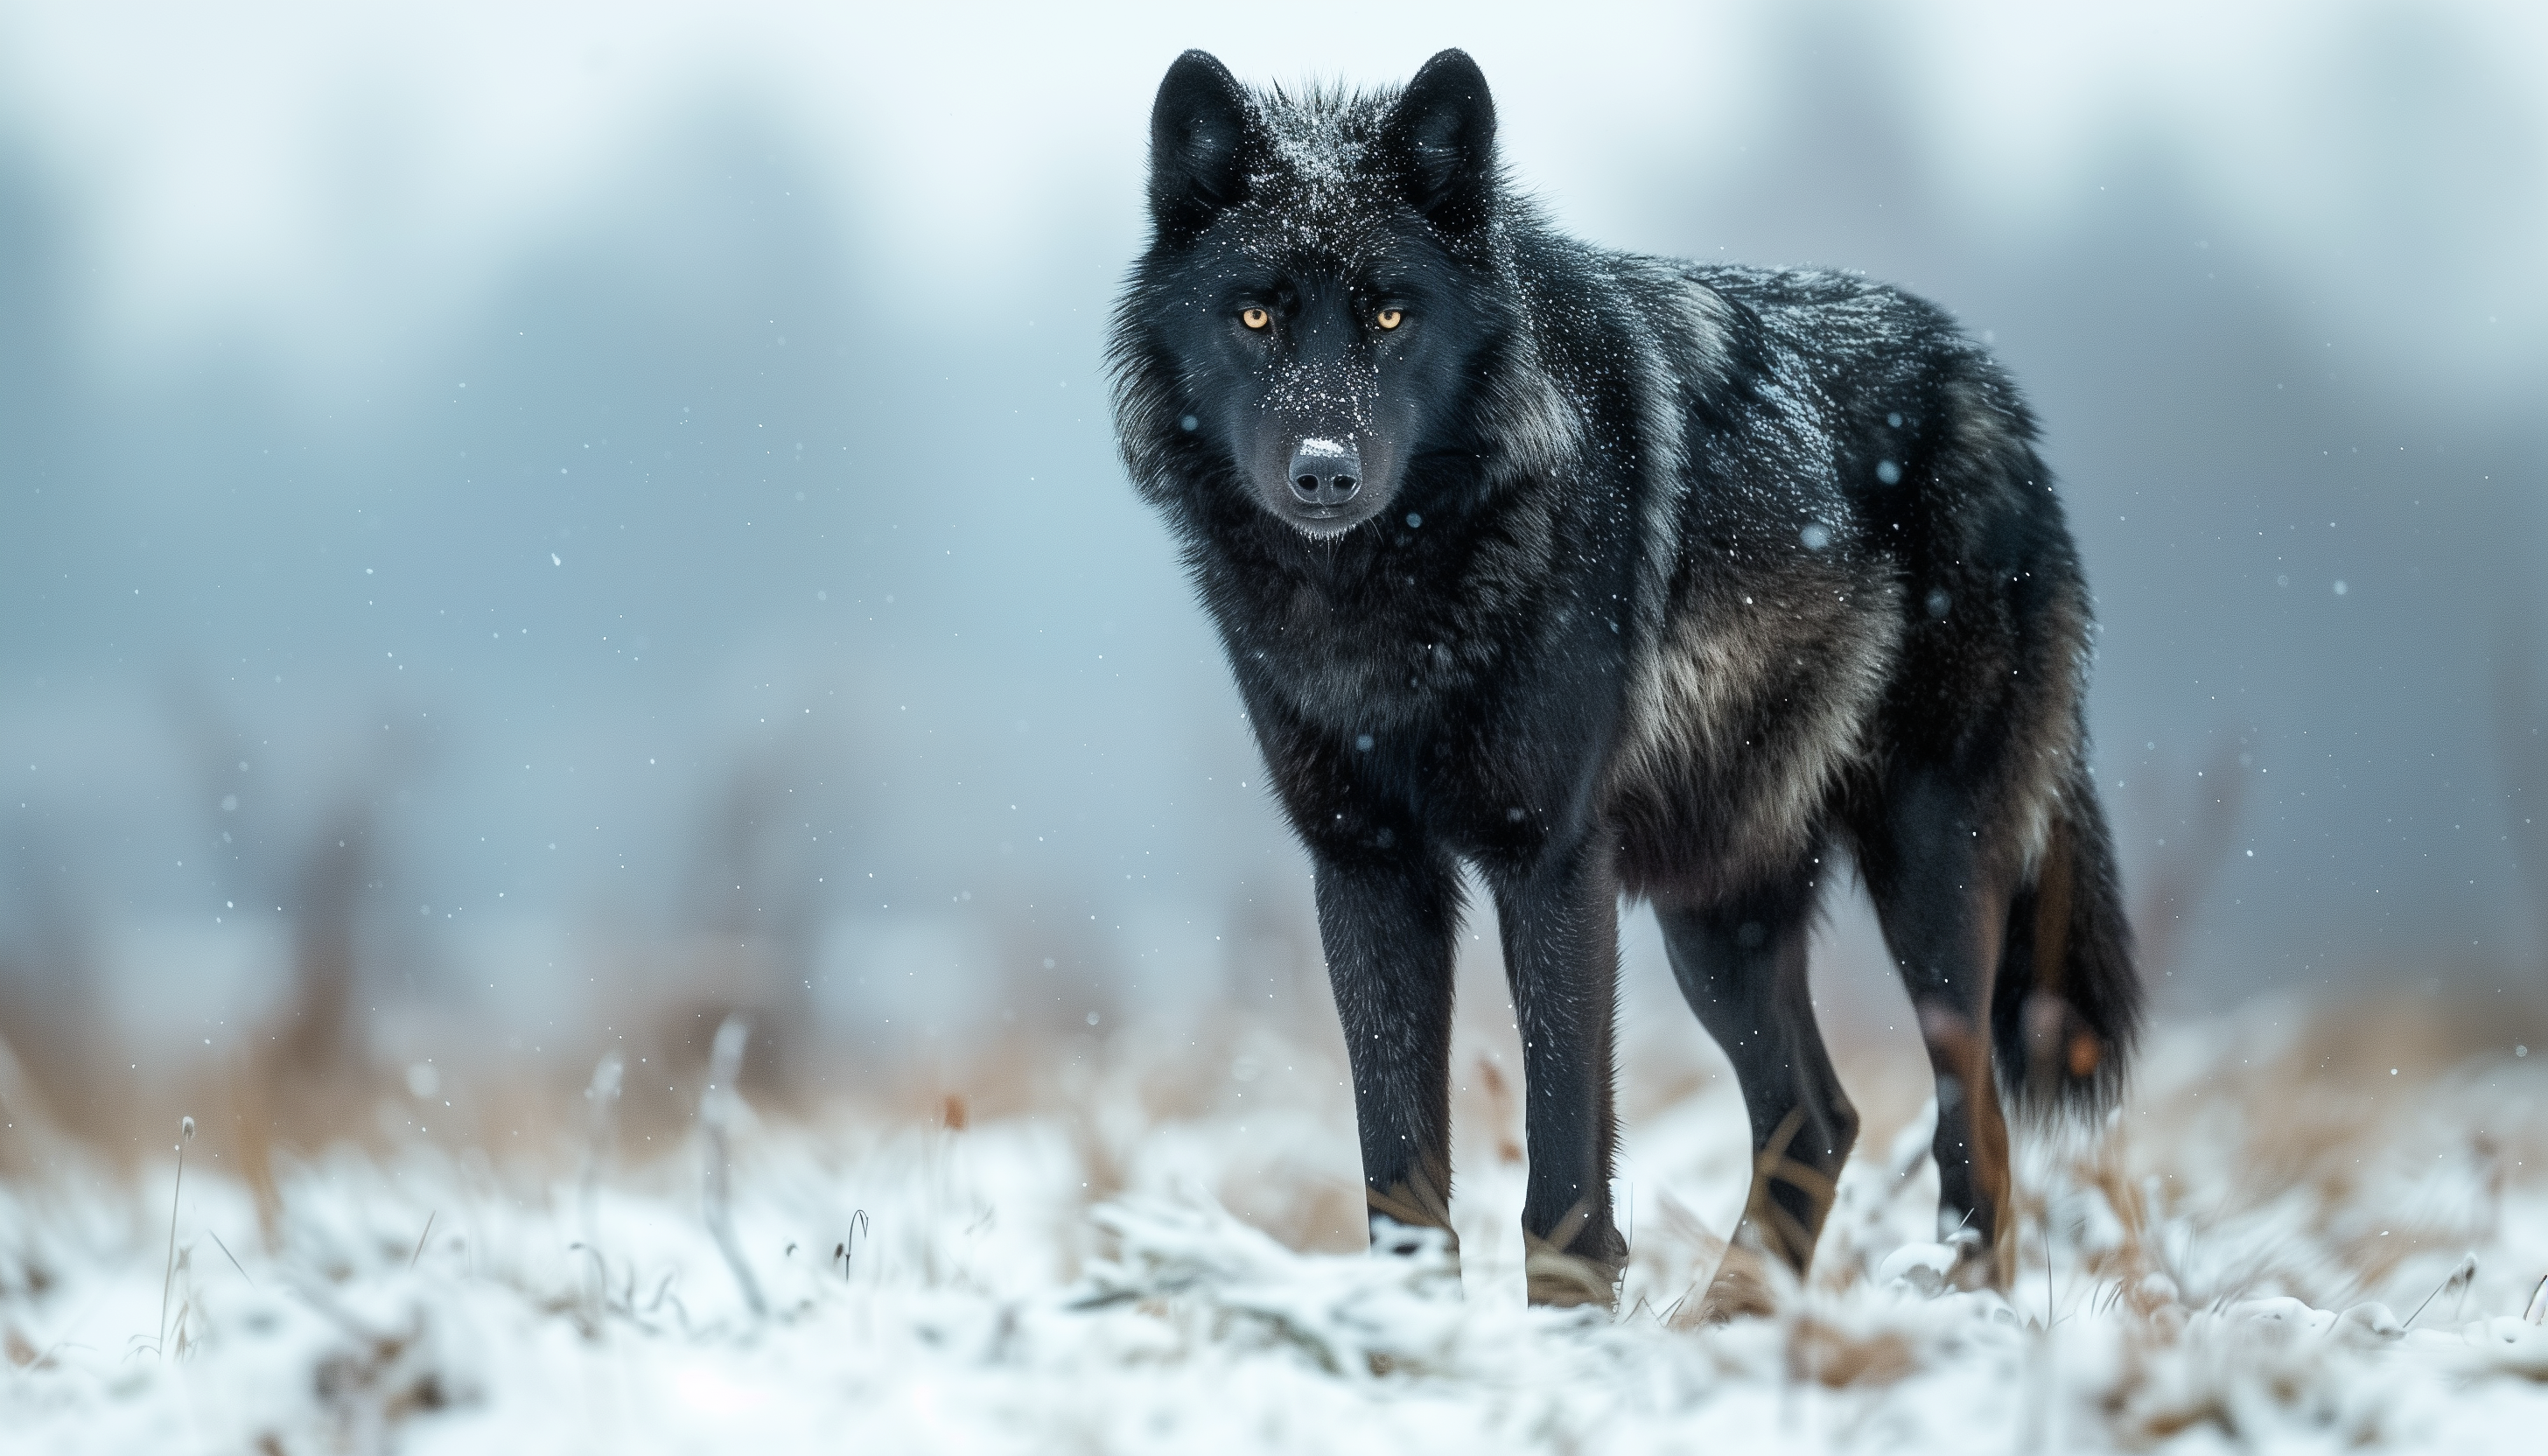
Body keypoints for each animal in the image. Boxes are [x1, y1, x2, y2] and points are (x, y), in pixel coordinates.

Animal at [1109, 49, 2140, 1308]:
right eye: (1255, 313)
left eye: (1391, 313)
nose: (1322, 471)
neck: (1389, 605)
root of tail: (1997, 389)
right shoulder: (1365, 870)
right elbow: (1398, 1177)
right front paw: (1412, 1334)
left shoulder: (1552, 864)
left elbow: (1562, 1179)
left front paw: (1565, 1336)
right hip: (1716, 918)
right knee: (1819, 1120)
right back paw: (1727, 1324)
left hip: (1930, 880)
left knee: (1972, 1133)